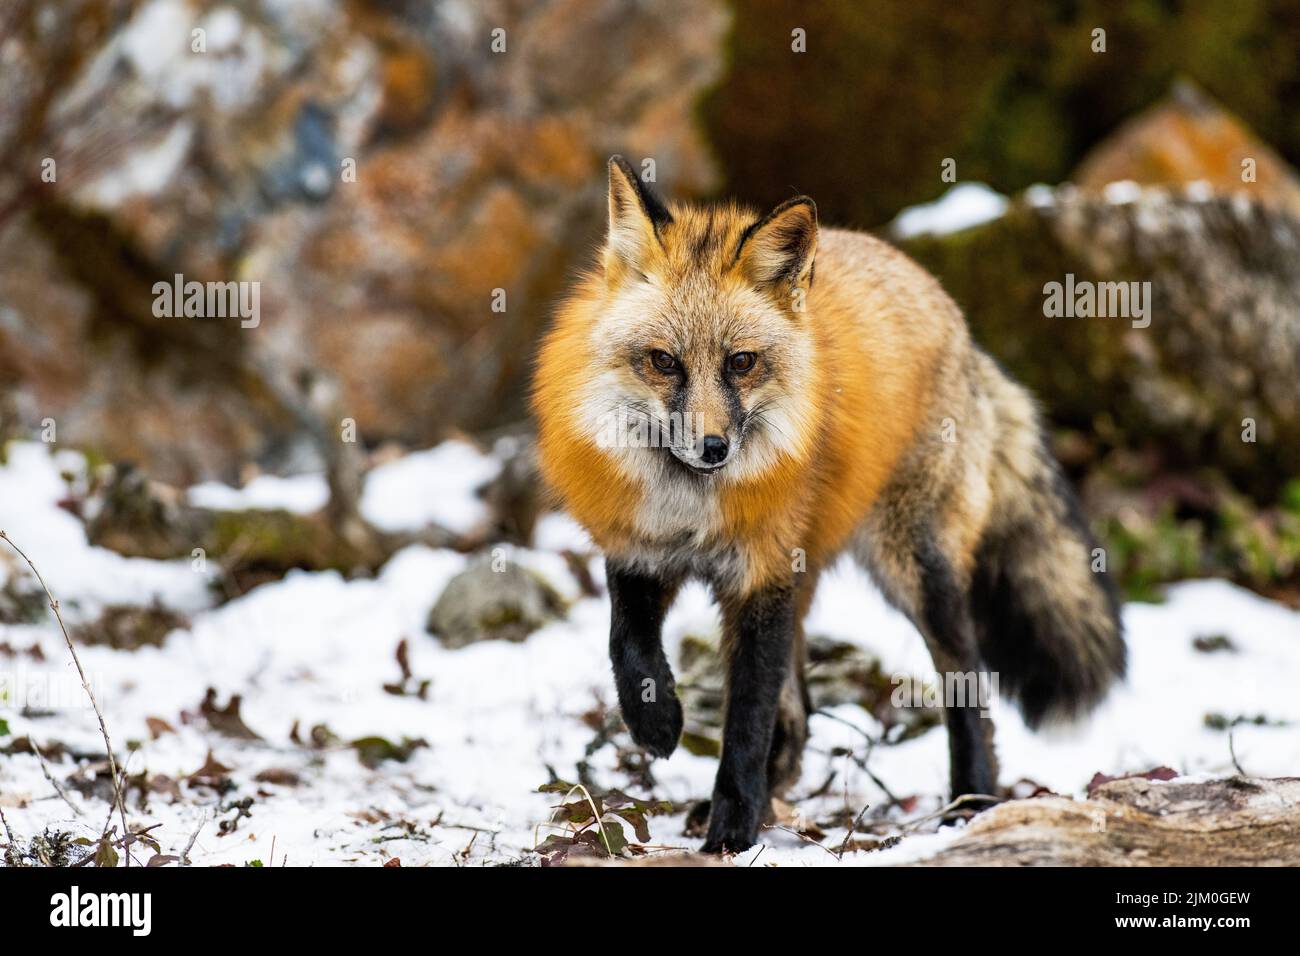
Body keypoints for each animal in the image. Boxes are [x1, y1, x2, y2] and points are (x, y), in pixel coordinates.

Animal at [531, 156, 1126, 853]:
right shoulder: (637, 550)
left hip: (916, 570)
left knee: (968, 685)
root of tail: (956, 318)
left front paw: (732, 832)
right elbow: (628, 648)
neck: (689, 512)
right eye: (663, 362)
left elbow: (747, 722)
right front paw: (657, 722)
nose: (713, 448)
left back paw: (968, 805)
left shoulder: (761, 579)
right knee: (803, 711)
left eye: (741, 363)